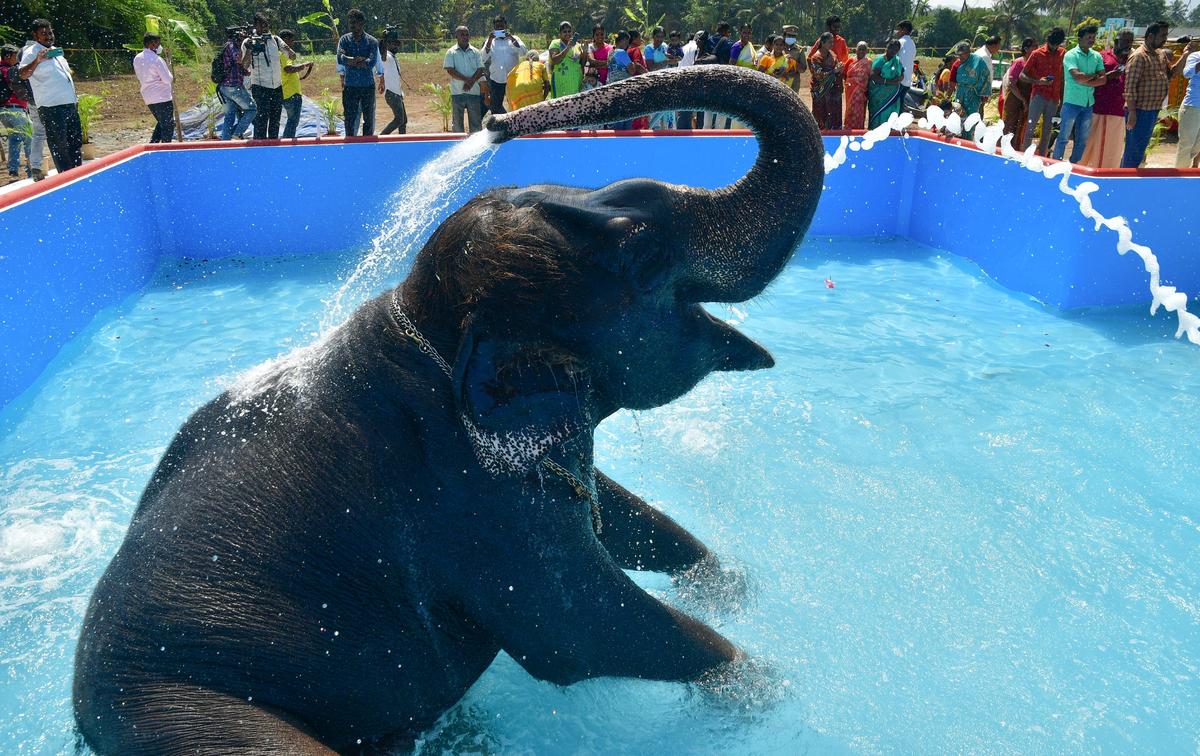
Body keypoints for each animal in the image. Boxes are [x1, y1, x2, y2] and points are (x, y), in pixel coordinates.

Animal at [72, 65, 824, 754]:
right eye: (642, 252)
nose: (498, 122)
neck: (423, 325)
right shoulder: (464, 500)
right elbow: (581, 628)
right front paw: (765, 690)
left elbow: (614, 511)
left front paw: (731, 587)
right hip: (182, 710)